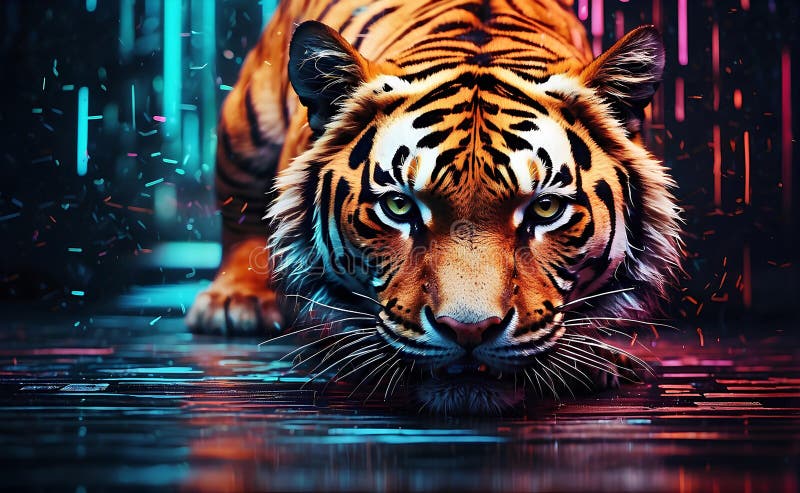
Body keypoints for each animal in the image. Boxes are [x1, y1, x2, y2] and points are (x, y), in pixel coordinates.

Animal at [186, 0, 682, 414]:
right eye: (398, 206)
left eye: (544, 210)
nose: (468, 330)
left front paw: (599, 359)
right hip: (245, 127)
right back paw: (234, 301)